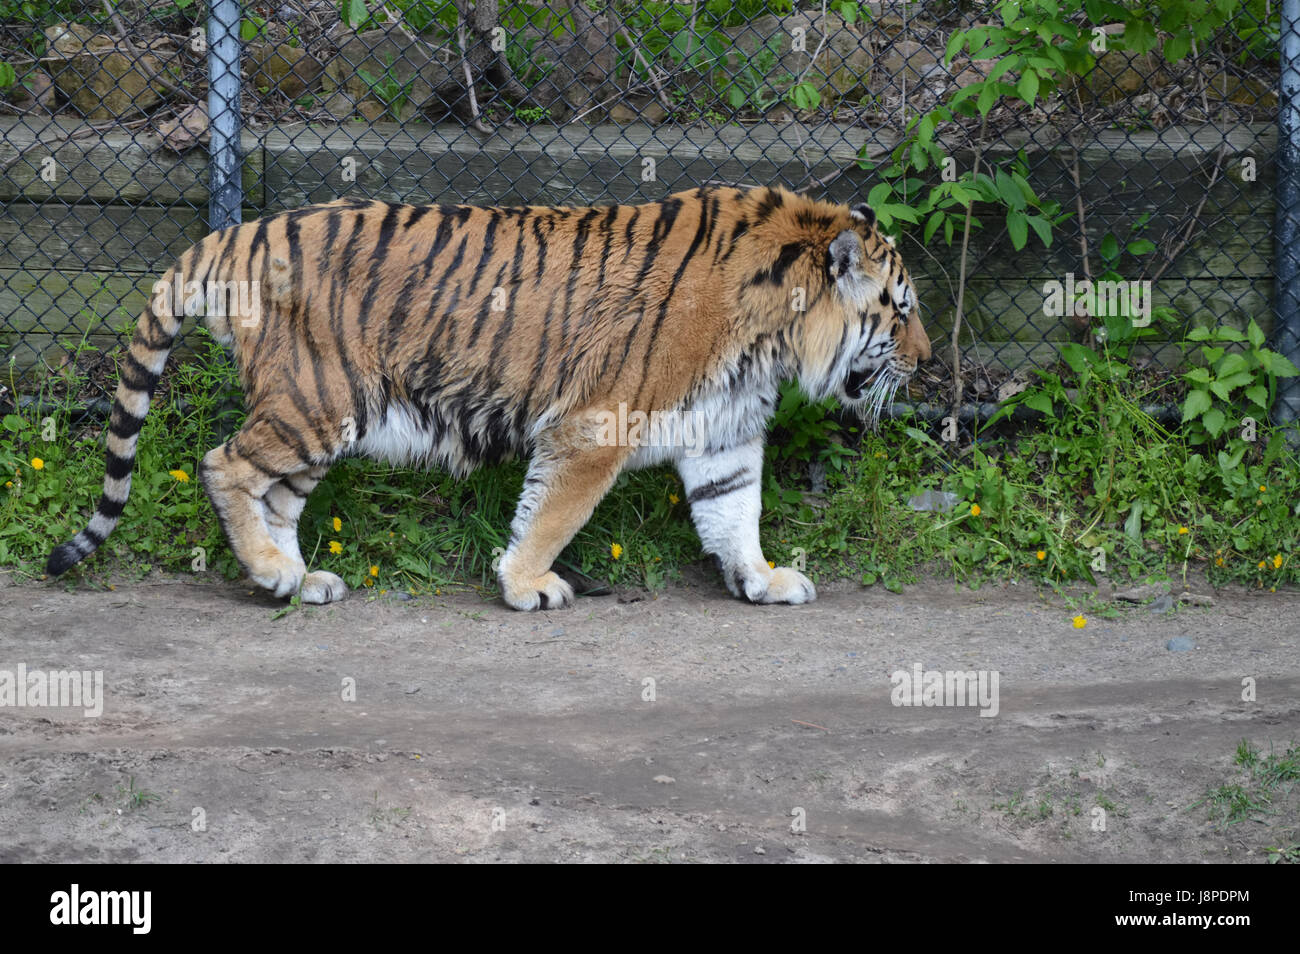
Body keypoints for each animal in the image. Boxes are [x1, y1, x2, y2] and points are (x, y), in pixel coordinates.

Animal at [47, 185, 930, 610]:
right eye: (901, 309)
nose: (926, 363)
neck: (774, 338)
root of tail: (239, 231)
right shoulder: (594, 427)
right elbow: (552, 514)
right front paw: (525, 584)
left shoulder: (723, 435)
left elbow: (735, 515)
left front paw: (762, 581)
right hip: (316, 402)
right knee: (224, 465)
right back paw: (271, 572)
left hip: (325, 418)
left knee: (278, 498)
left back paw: (294, 581)